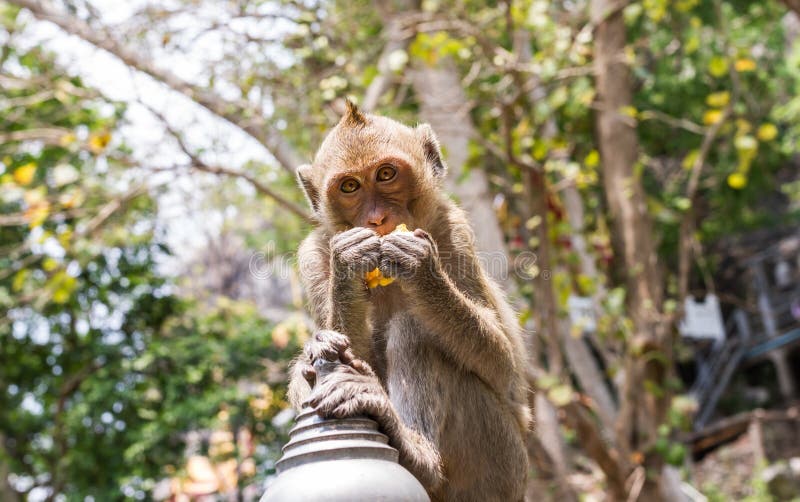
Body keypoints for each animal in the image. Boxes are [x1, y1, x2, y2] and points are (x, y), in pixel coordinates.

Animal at [288, 100, 531, 501]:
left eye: (386, 174)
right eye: (350, 186)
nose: (377, 219)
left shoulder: (454, 229)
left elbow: (505, 370)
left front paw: (422, 269)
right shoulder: (312, 257)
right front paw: (348, 267)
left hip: (503, 466)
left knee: (415, 328)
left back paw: (418, 456)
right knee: (303, 372)